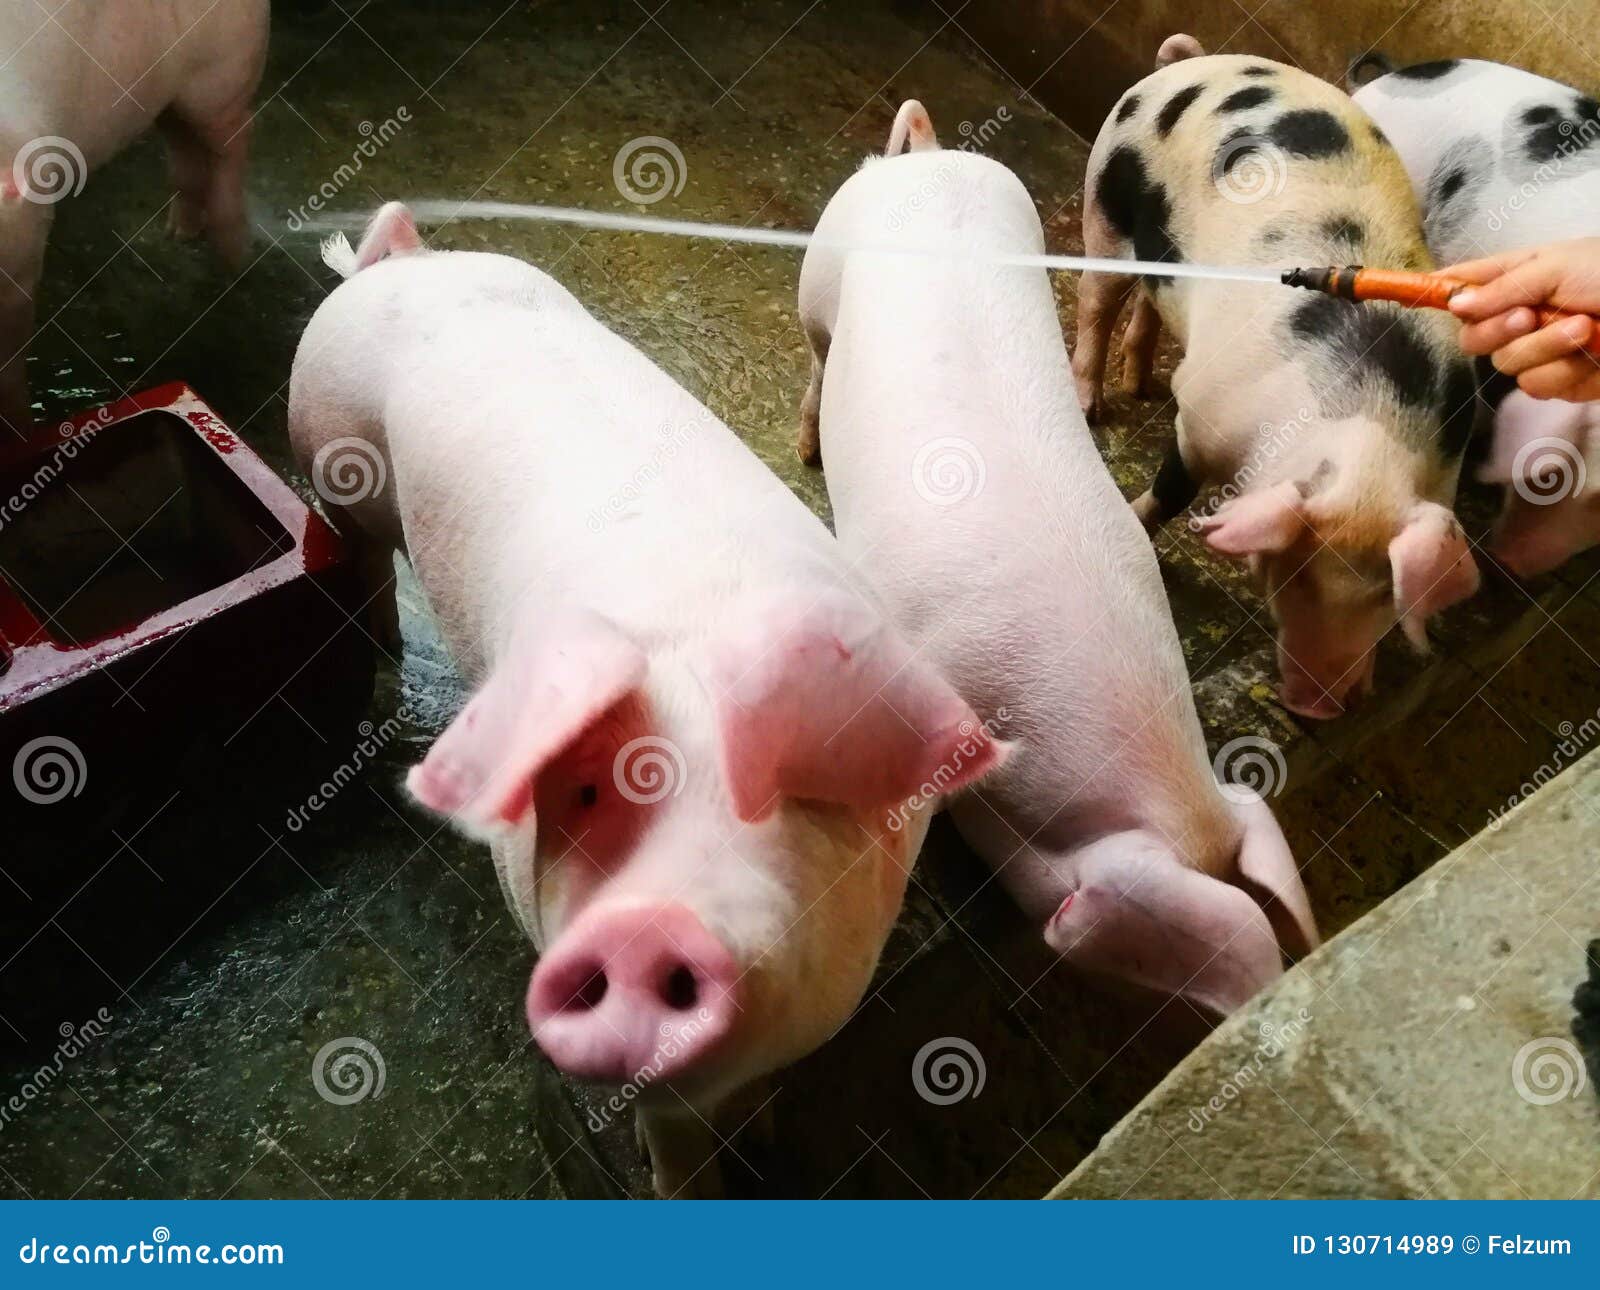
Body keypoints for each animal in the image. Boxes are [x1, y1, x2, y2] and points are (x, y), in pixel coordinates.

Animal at [0, 0, 268, 426]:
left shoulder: (24, 248)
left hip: (222, 73)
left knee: (234, 139)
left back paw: (233, 260)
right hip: (169, 99)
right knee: (185, 151)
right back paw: (179, 233)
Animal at [288, 202, 1003, 1197]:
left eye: (800, 793)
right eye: (589, 790)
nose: (645, 925)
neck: (696, 631)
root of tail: (390, 265)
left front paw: (767, 1129)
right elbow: (669, 1132)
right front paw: (684, 1181)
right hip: (324, 450)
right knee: (355, 557)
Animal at [1073, 36, 1482, 720]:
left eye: (1384, 596)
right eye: (1291, 572)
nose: (1320, 706)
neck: (1367, 425)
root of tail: (1191, 64)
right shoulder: (1202, 420)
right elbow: (1174, 489)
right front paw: (1136, 521)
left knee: (1149, 304)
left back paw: (1143, 386)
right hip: (1104, 202)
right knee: (1094, 302)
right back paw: (1093, 407)